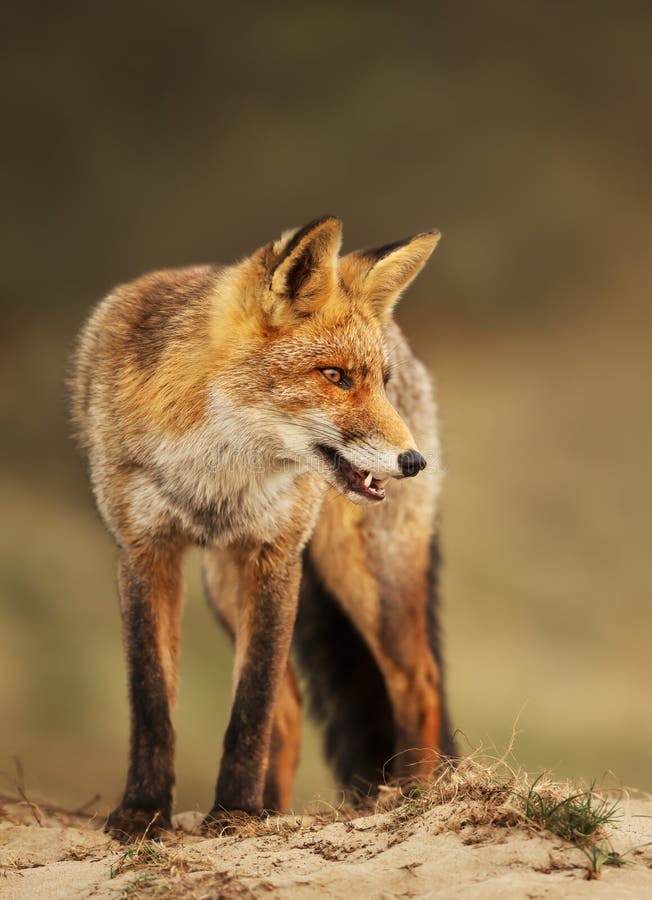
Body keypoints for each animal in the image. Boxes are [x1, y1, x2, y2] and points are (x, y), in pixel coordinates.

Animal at [70, 216, 455, 841]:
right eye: (334, 376)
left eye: (379, 382)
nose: (413, 461)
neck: (214, 471)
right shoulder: (144, 550)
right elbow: (153, 701)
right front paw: (144, 811)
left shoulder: (277, 553)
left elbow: (250, 704)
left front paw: (235, 812)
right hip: (224, 585)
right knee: (292, 707)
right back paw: (274, 808)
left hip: (363, 575)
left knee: (419, 679)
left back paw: (414, 795)